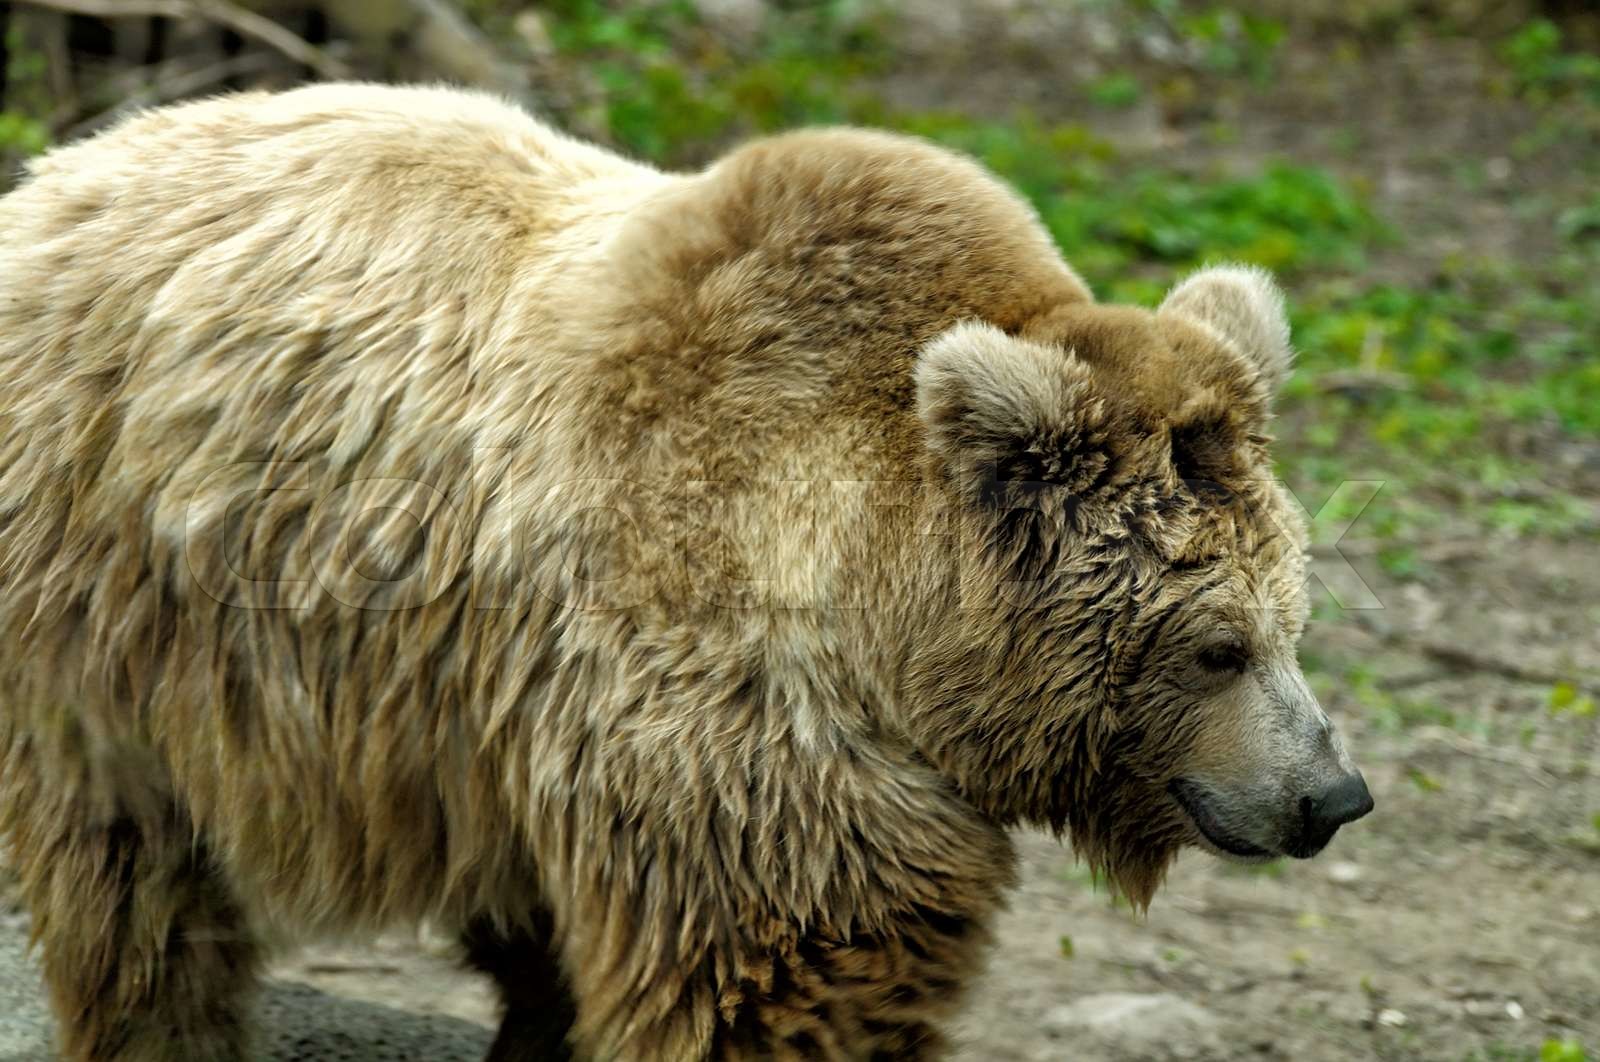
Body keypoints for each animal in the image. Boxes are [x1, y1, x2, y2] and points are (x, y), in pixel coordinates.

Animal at [0, 83, 1372, 1061]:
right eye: (1217, 646)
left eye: (1294, 621)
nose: (1330, 795)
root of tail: (66, 166)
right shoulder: (717, 683)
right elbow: (785, 962)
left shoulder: (549, 722)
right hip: (116, 603)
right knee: (132, 879)